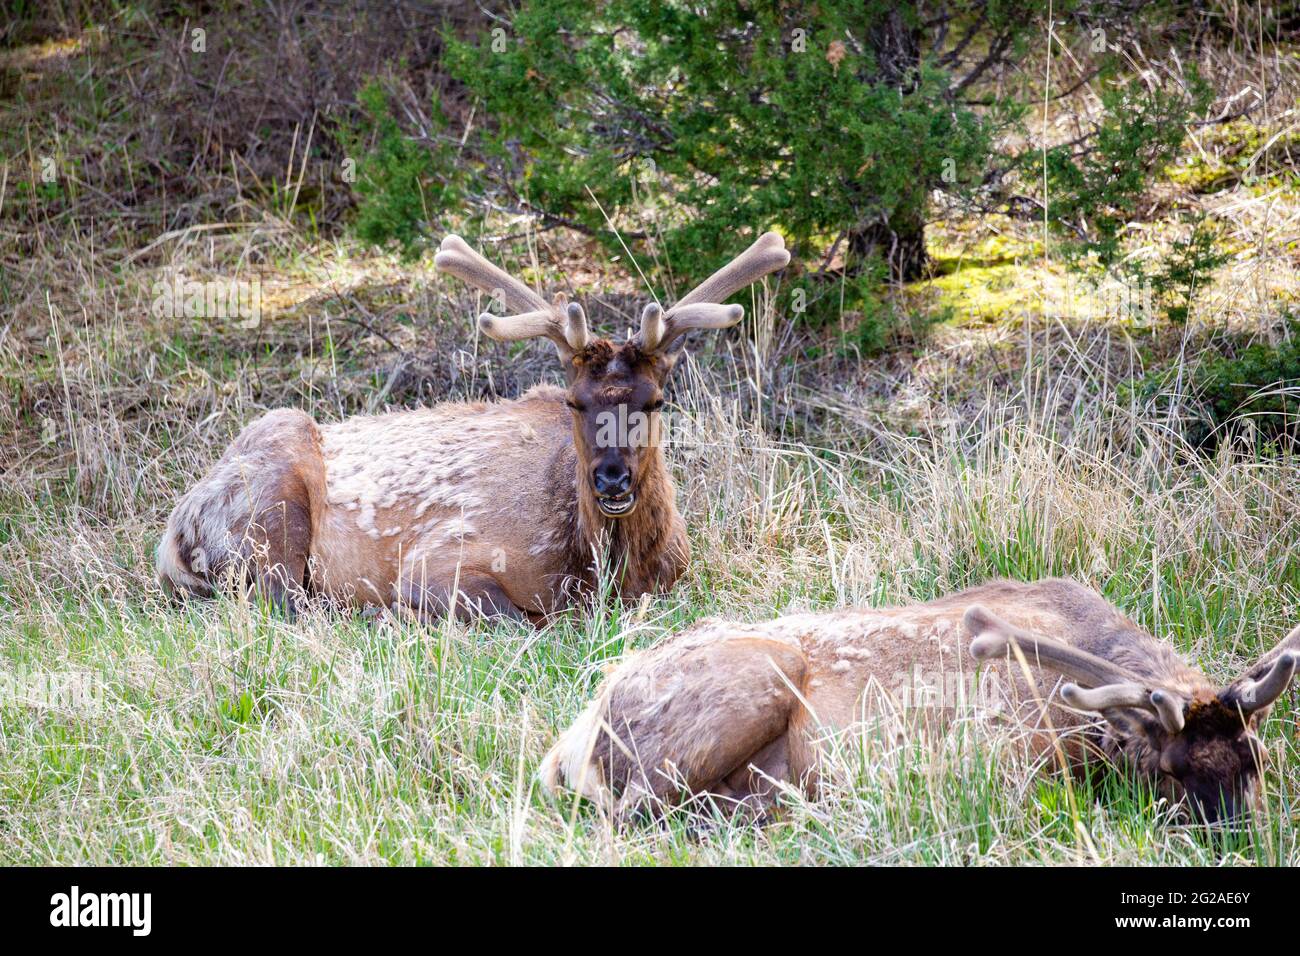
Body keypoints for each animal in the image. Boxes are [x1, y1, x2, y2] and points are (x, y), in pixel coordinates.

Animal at [156, 232, 790, 622]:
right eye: (575, 402)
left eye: (656, 400)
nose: (612, 479)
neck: (598, 571)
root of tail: (171, 536)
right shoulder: (440, 557)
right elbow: (522, 619)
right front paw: (396, 614)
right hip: (265, 510)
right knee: (289, 603)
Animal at [541, 577, 1299, 825]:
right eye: (1169, 771)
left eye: (1257, 763)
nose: (1237, 836)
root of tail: (568, 743)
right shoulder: (1001, 762)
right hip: (755, 680)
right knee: (633, 817)